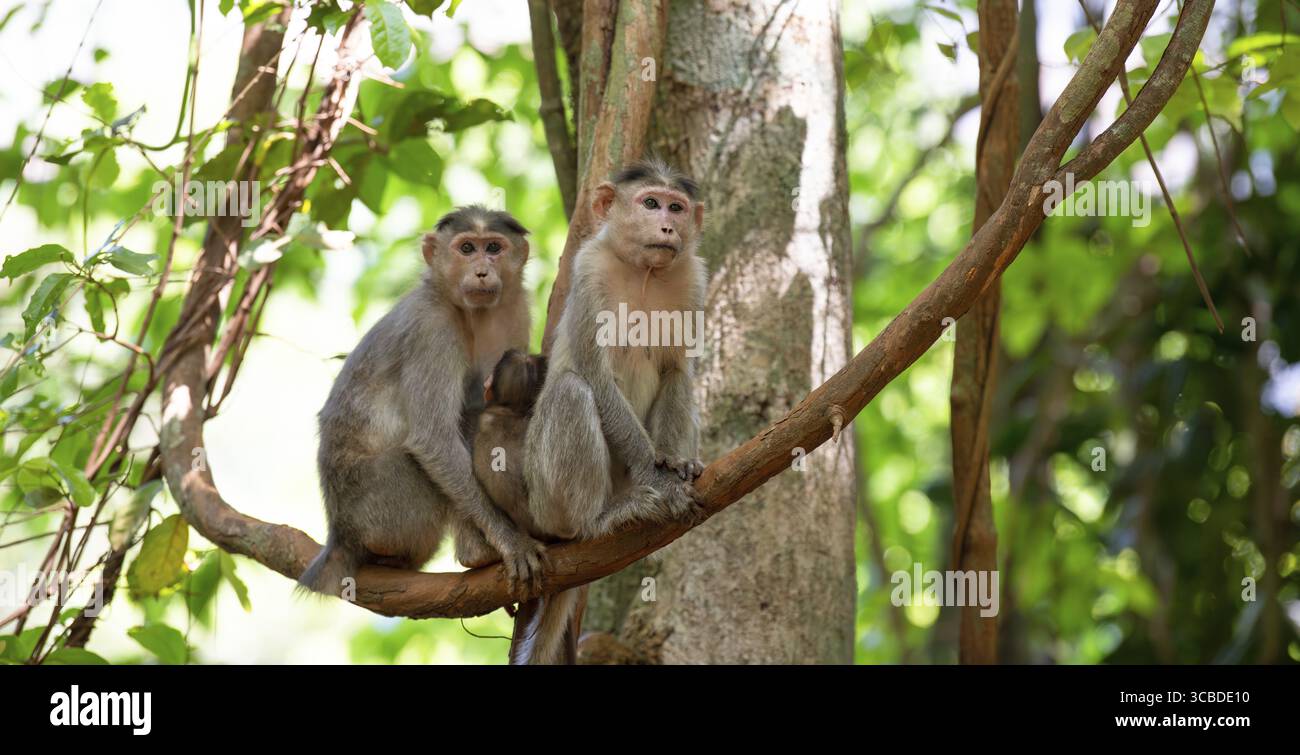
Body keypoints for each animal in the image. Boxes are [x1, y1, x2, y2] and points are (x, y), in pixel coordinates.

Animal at [299, 206, 548, 599]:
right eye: (466, 249)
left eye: (493, 247)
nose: (482, 270)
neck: (464, 311)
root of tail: (338, 533)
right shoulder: (431, 330)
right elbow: (434, 439)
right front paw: (510, 540)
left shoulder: (514, 309)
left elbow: (508, 390)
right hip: (380, 512)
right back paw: (476, 552)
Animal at [515, 158, 709, 664]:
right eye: (650, 202)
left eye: (676, 207)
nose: (667, 226)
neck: (643, 273)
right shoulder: (589, 270)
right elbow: (595, 376)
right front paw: (662, 480)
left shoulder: (691, 279)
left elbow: (675, 369)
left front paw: (675, 465)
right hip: (543, 496)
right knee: (571, 391)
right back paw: (596, 523)